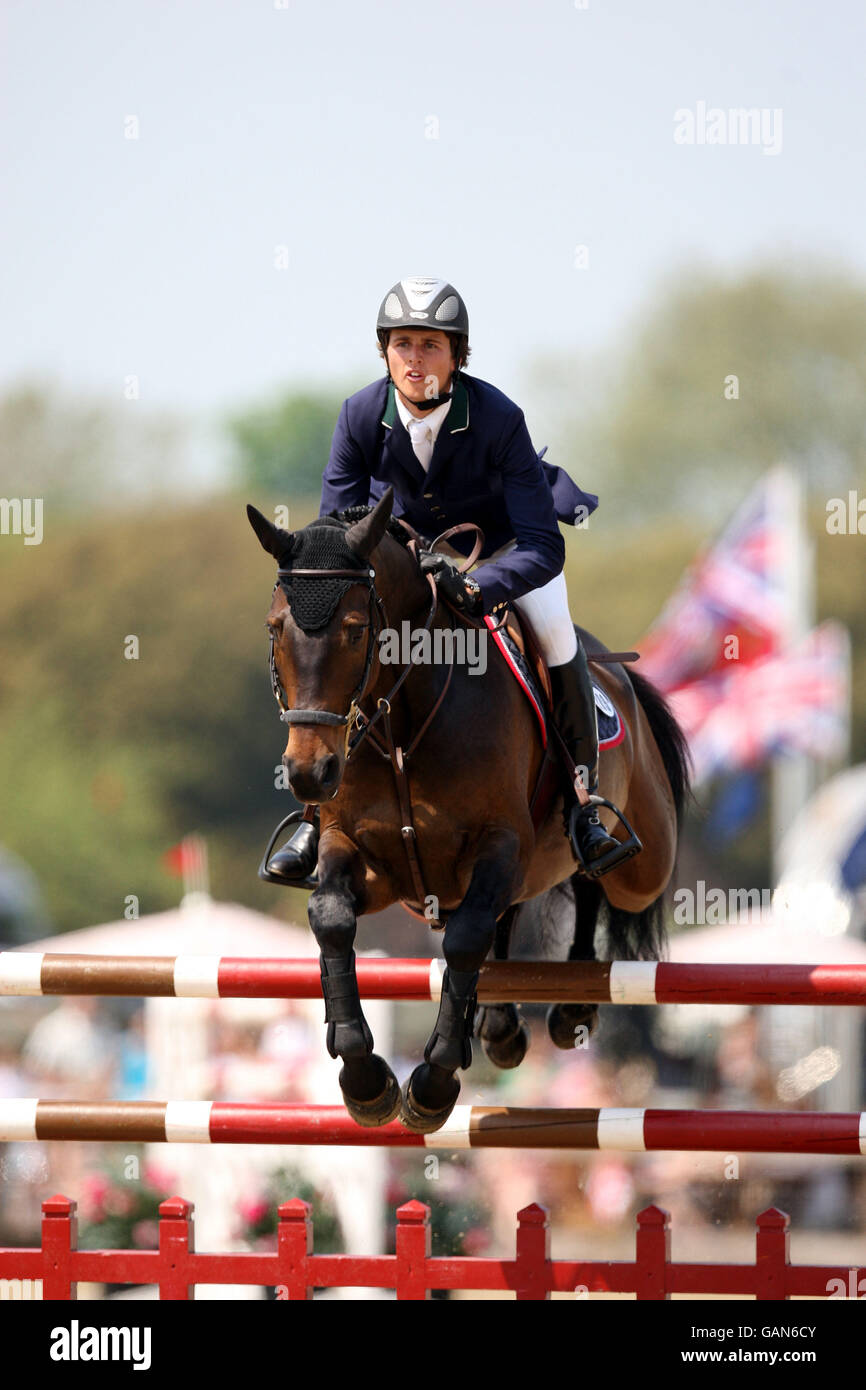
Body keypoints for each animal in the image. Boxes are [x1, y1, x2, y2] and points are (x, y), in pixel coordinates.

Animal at [247, 488, 690, 1134]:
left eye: (355, 631)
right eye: (275, 628)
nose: (311, 773)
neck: (403, 726)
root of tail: (615, 669)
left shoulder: (498, 844)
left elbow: (464, 940)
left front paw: (433, 1084)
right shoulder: (363, 855)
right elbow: (331, 918)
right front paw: (365, 1077)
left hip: (642, 865)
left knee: (593, 884)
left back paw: (572, 1004)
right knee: (520, 913)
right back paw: (503, 1026)